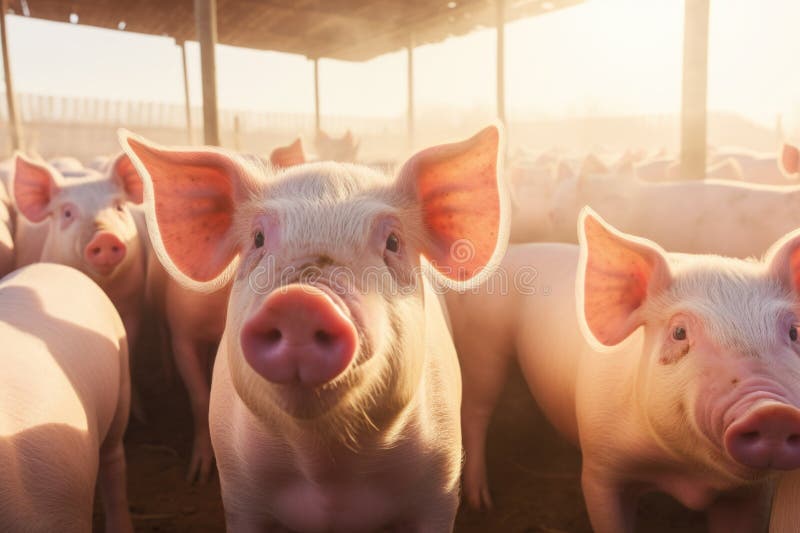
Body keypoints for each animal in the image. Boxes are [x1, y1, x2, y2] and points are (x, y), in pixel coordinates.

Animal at [121, 124, 509, 531]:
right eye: (258, 239)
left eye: (393, 242)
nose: (301, 301)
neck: (327, 470)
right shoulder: (240, 496)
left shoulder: (439, 490)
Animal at [449, 210, 800, 532]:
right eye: (679, 333)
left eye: (795, 332)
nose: (772, 410)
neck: (686, 472)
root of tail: (516, 250)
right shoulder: (601, 469)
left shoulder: (750, 493)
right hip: (484, 342)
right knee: (476, 411)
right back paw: (482, 503)